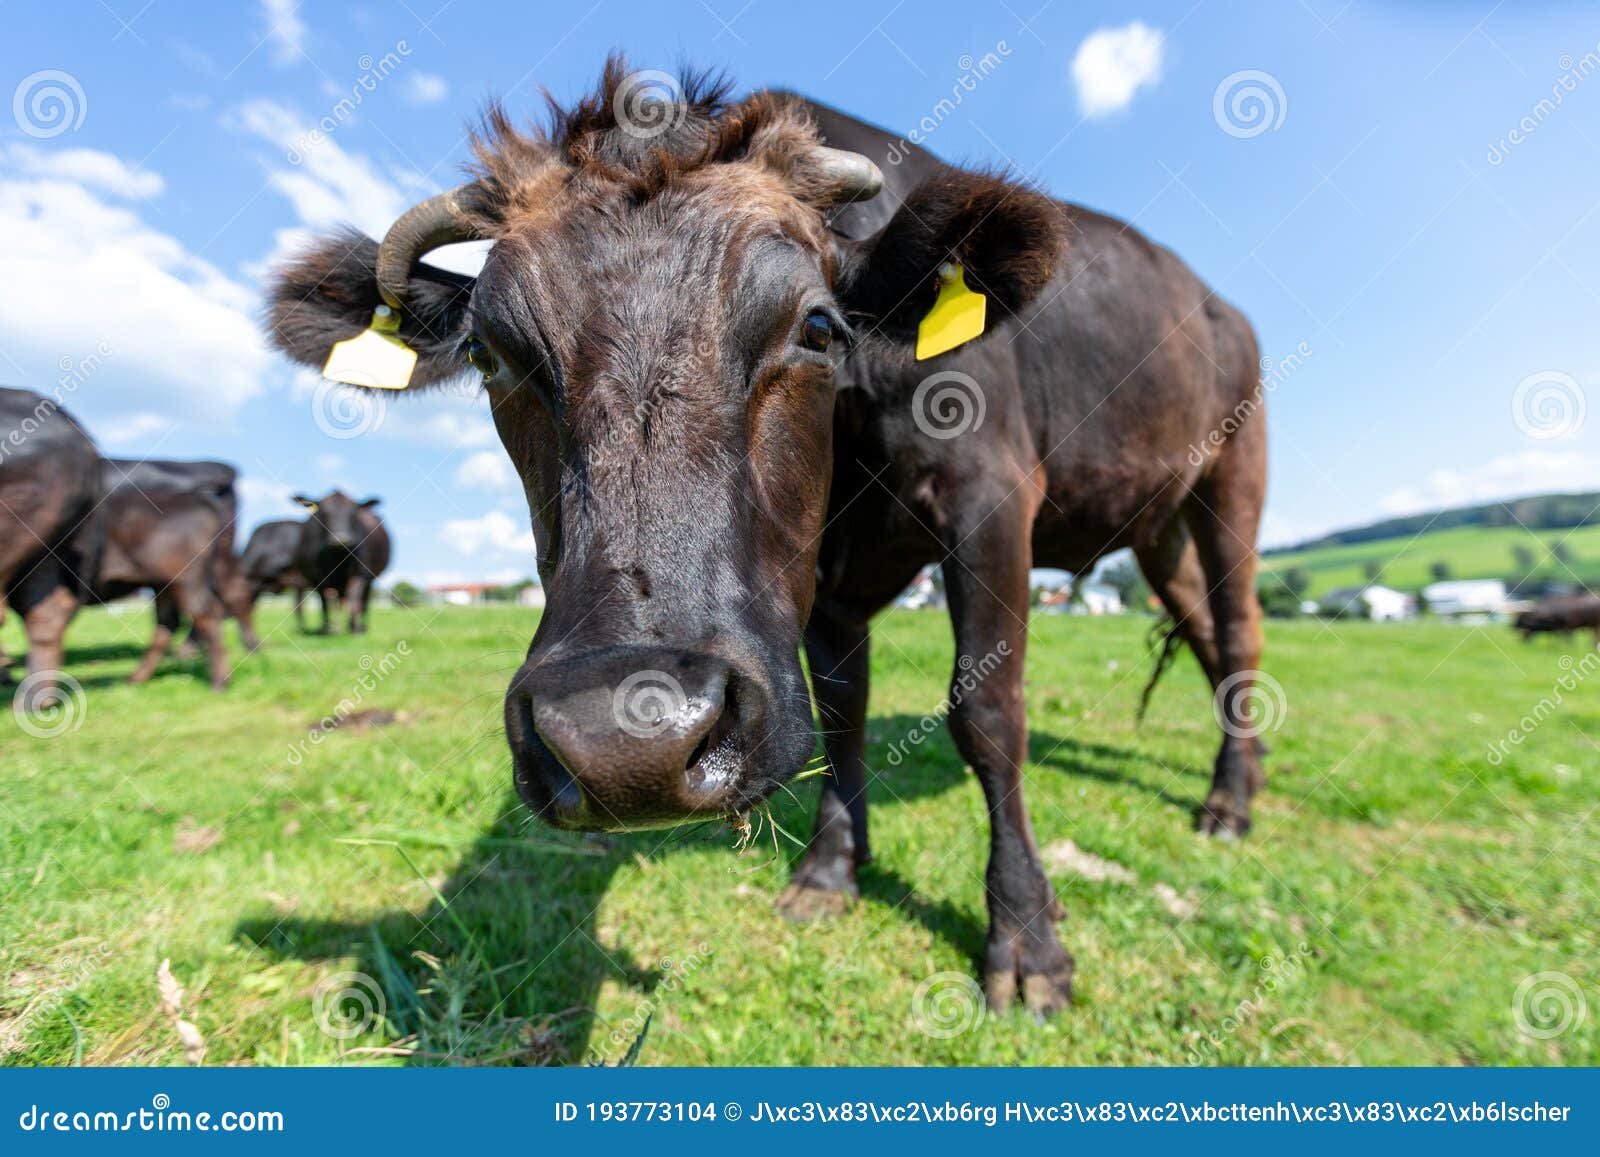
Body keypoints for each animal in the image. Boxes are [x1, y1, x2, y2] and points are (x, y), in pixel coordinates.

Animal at [290, 491, 390, 634]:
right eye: (324, 513)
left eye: (354, 513)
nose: (342, 538)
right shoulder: (317, 578)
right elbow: (324, 604)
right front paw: (326, 629)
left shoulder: (359, 574)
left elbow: (354, 600)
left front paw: (354, 629)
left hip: (370, 579)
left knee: (363, 602)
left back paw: (361, 626)